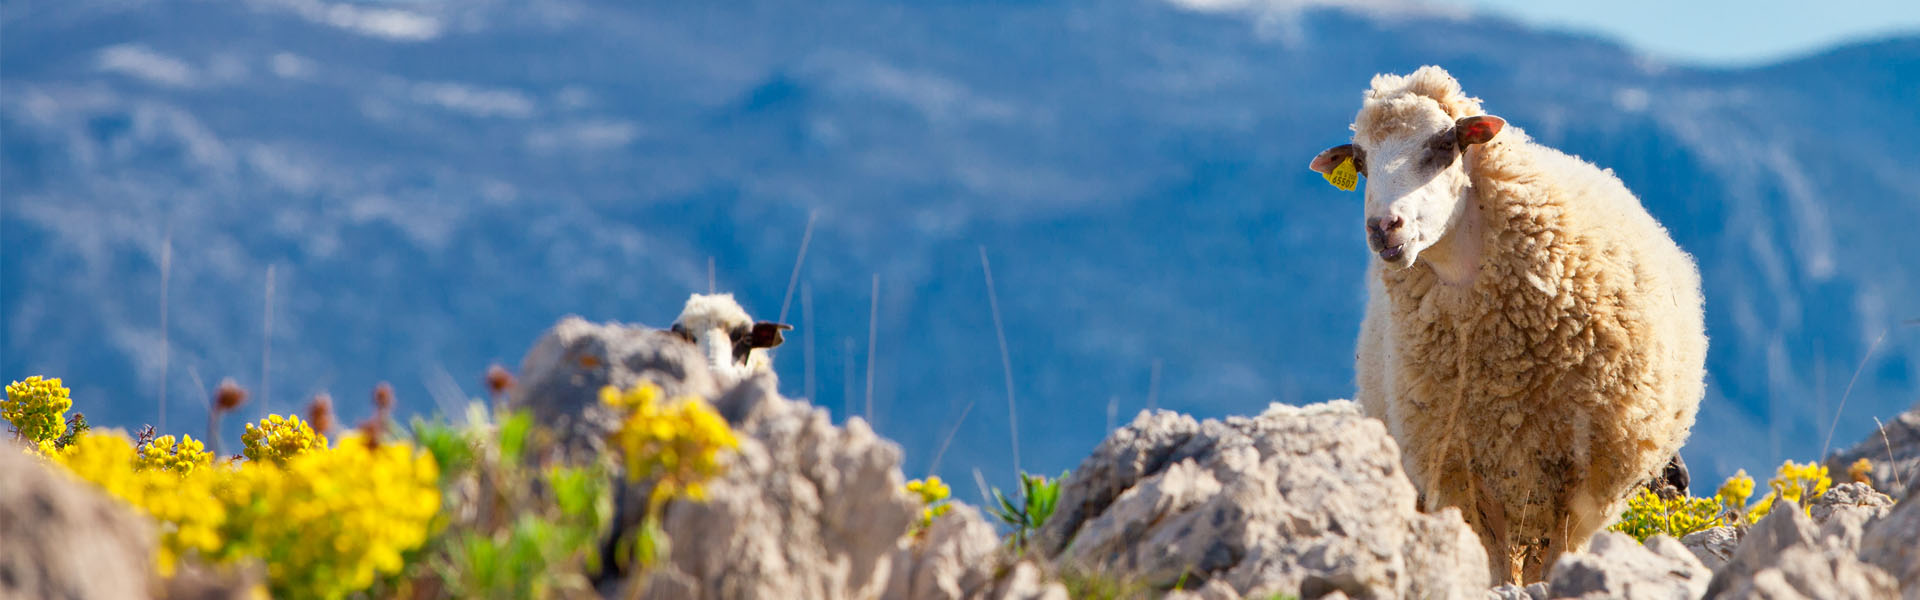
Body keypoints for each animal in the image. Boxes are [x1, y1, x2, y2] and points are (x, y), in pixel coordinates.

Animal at [1308, 66, 1707, 583]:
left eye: (1445, 144)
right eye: (1360, 161)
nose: (1383, 227)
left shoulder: (1586, 473)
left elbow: (1557, 555)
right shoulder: (1462, 467)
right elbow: (1495, 559)